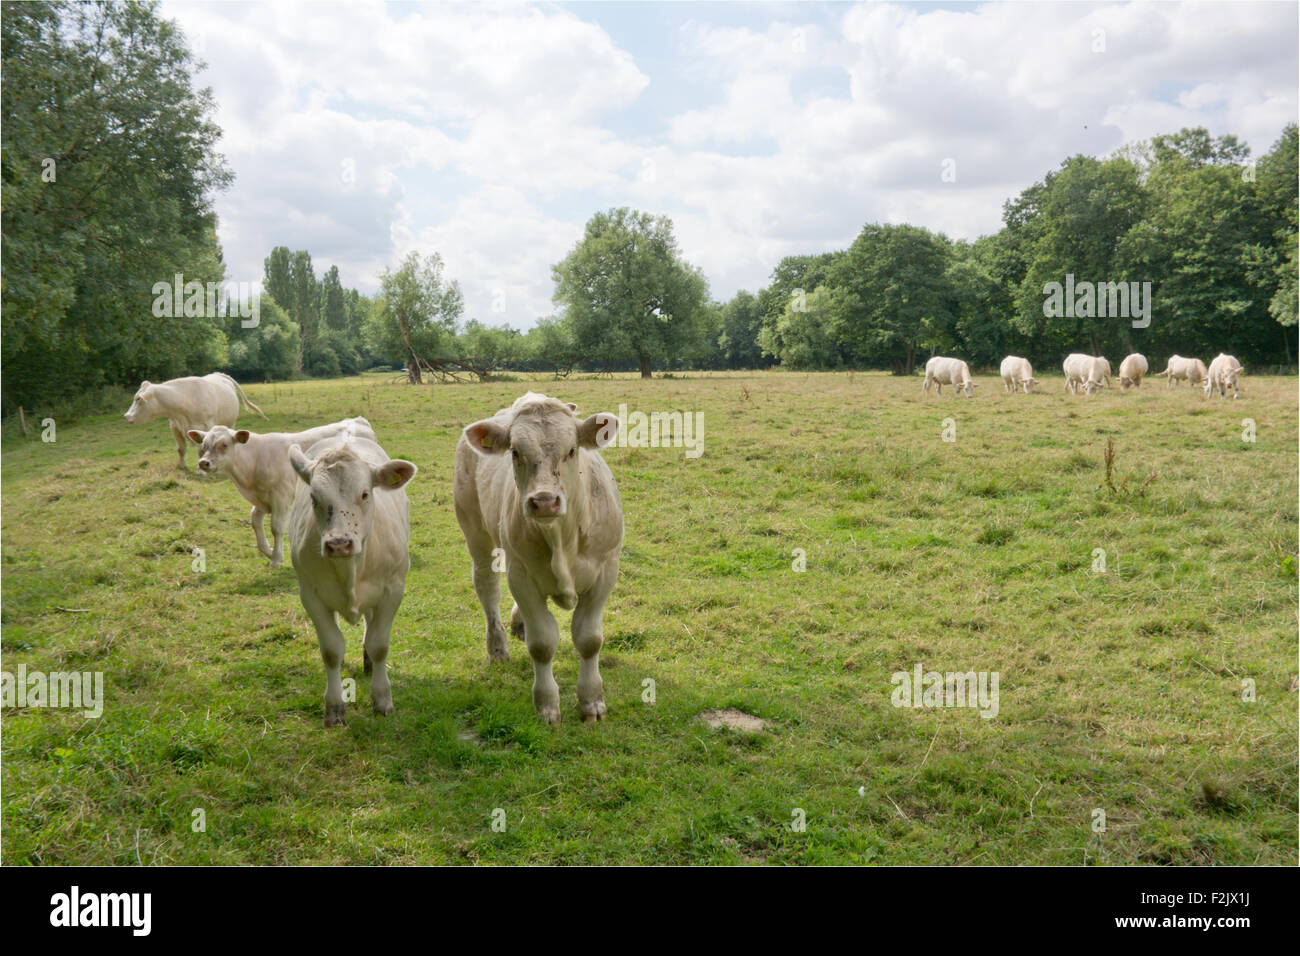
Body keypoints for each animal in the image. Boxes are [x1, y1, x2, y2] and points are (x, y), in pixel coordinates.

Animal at [123, 373, 266, 470]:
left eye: (138, 399)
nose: (126, 416)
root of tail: (218, 374)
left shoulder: (206, 427)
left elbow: (201, 450)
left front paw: (201, 469)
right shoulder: (174, 427)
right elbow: (181, 449)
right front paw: (181, 466)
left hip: (231, 422)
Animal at [187, 417, 377, 568]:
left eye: (224, 444)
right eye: (204, 445)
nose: (204, 463)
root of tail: (356, 420)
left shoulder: (280, 496)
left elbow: (276, 527)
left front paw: (276, 559)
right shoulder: (261, 499)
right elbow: (255, 521)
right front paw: (269, 551)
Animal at [288, 432, 416, 728]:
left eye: (365, 493)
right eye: (314, 497)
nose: (338, 543)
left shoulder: (392, 590)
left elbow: (379, 645)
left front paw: (382, 699)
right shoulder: (310, 595)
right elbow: (331, 650)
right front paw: (334, 707)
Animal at [454, 392, 623, 725]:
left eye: (571, 450)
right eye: (515, 451)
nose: (544, 501)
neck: (562, 538)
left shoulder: (605, 571)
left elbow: (589, 639)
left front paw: (592, 701)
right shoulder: (521, 574)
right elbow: (543, 643)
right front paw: (547, 705)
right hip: (475, 531)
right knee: (487, 586)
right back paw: (498, 648)